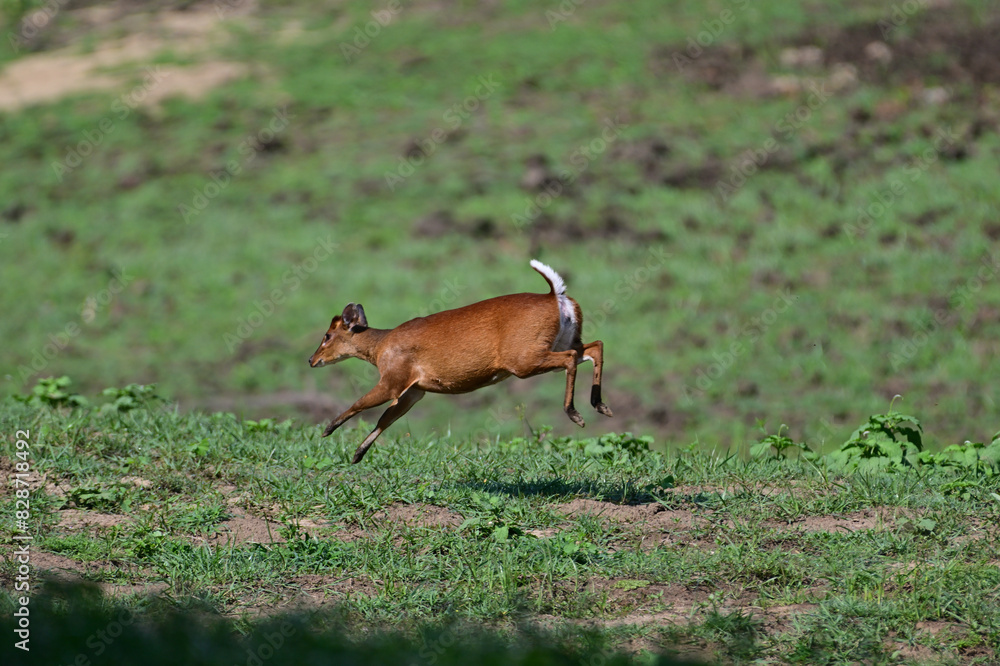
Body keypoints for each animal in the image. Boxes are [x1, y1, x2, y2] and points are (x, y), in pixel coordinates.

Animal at [308, 260, 613, 463]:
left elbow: (360, 404)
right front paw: (358, 454)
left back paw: (576, 414)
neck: (381, 346)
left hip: (524, 359)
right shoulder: (415, 390)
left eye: (327, 335)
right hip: (562, 341)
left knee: (572, 358)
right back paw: (601, 406)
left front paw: (327, 430)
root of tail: (556, 296)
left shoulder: (393, 380)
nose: (311, 359)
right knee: (594, 346)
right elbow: (386, 419)